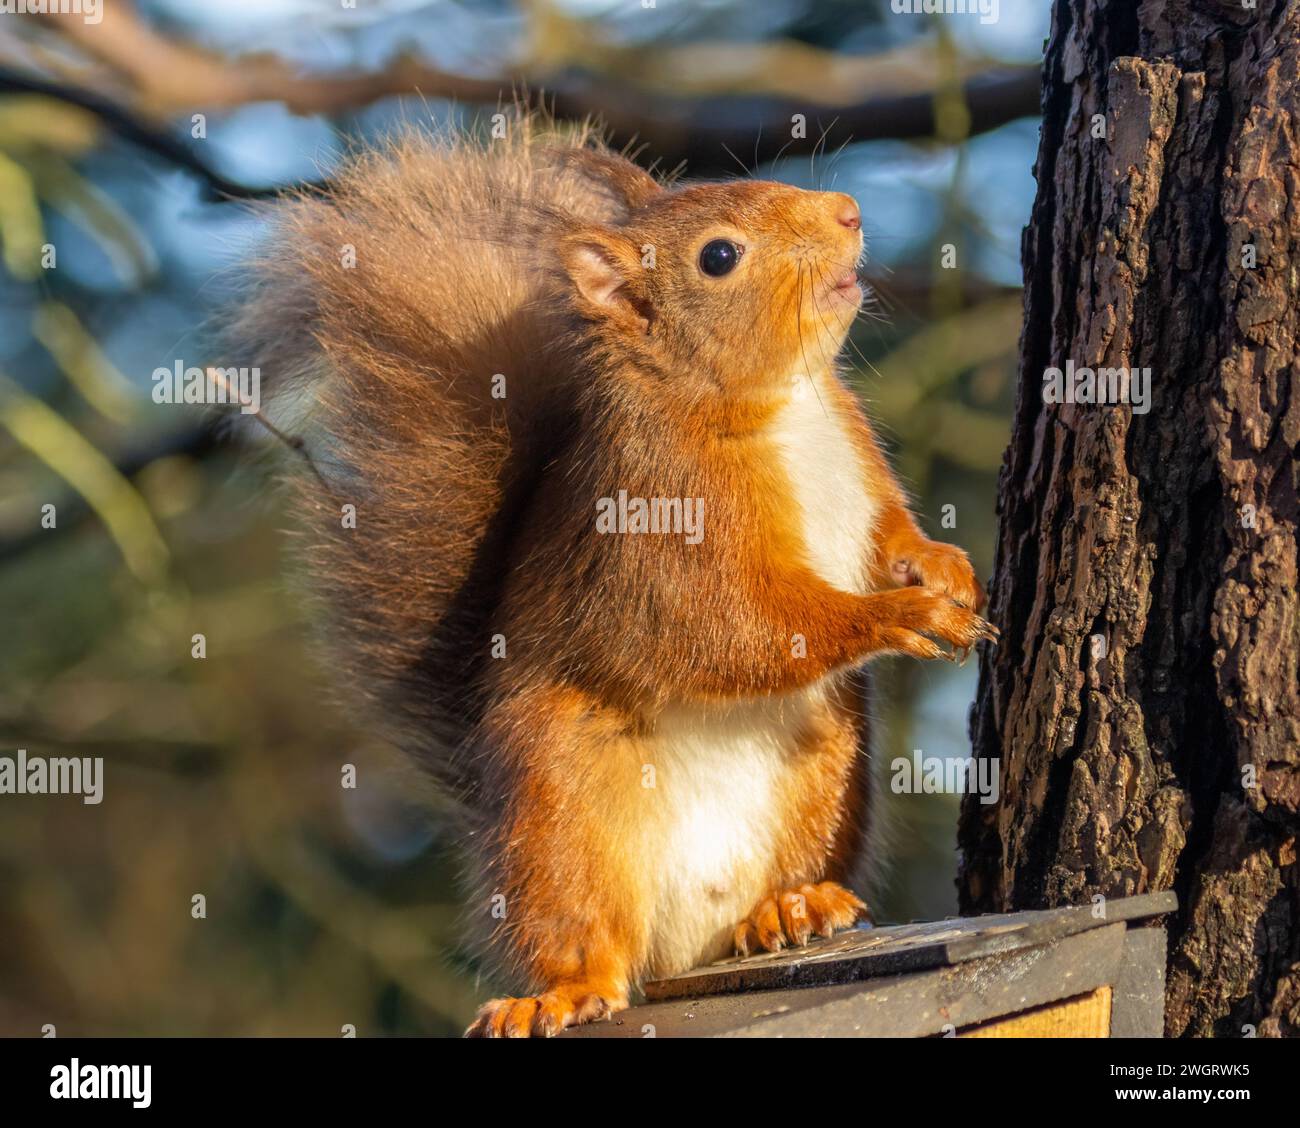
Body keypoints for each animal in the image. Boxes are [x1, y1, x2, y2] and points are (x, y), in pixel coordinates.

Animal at [228, 110, 995, 1037]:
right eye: (719, 256)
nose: (847, 211)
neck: (783, 400)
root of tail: (683, 944)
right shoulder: (659, 534)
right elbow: (738, 627)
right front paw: (899, 617)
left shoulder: (862, 472)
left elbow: (891, 538)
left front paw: (947, 568)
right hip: (563, 815)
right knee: (585, 933)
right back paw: (561, 991)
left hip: (826, 773)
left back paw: (791, 907)